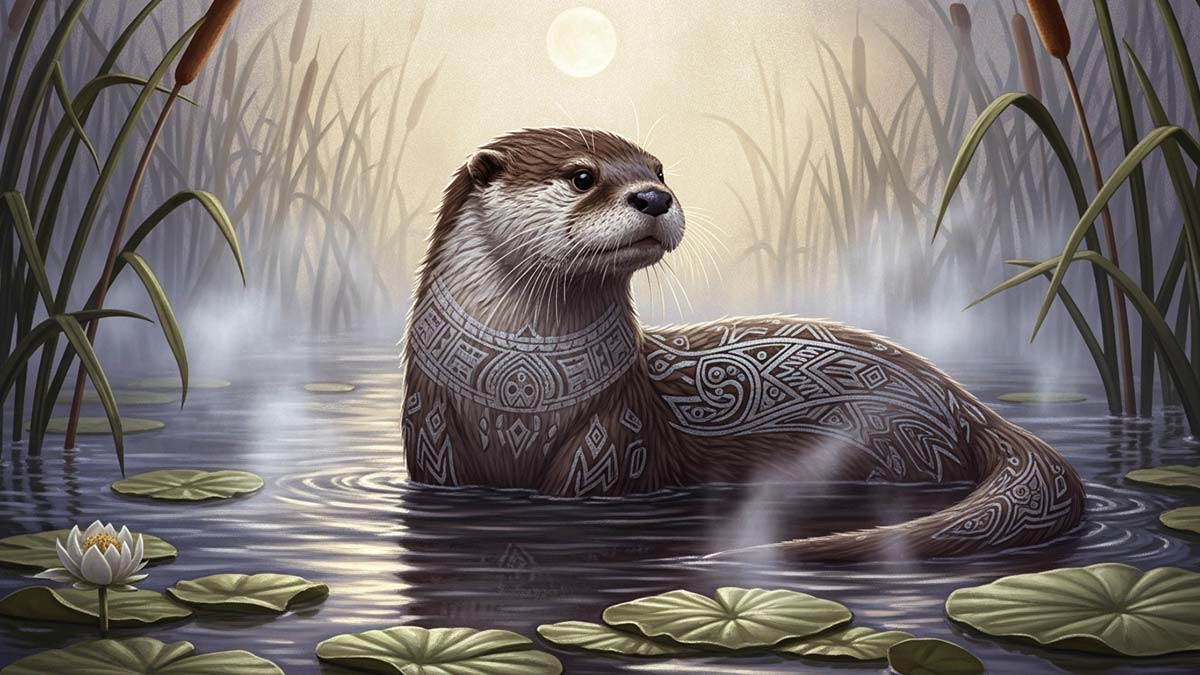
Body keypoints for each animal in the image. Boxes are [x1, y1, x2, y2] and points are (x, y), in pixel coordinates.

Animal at [401, 127, 1085, 560]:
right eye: (581, 176)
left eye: (659, 170)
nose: (654, 197)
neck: (518, 393)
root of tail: (969, 406)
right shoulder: (433, 433)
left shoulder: (612, 438)